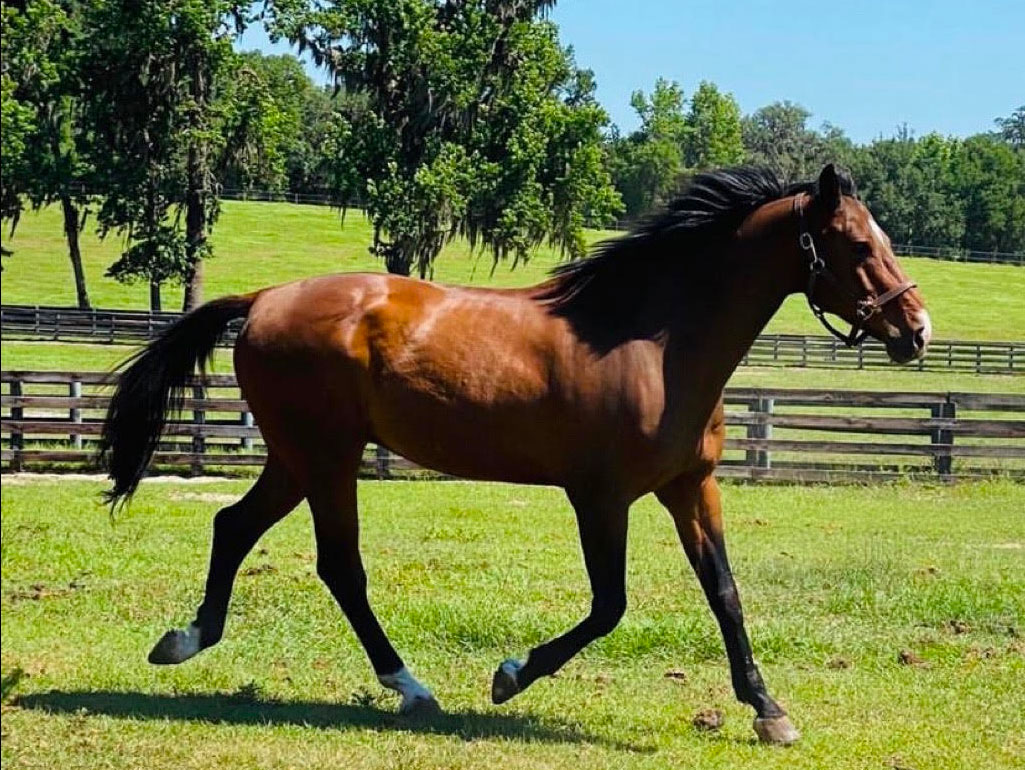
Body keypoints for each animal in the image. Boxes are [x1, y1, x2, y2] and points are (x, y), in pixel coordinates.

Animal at [100, 164, 930, 745]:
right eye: (857, 244)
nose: (916, 330)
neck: (652, 343)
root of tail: (264, 297)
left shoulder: (690, 488)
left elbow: (723, 593)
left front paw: (767, 710)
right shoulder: (600, 497)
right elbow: (608, 605)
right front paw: (510, 676)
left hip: (298, 457)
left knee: (234, 527)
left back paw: (184, 641)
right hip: (325, 456)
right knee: (339, 566)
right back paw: (409, 686)